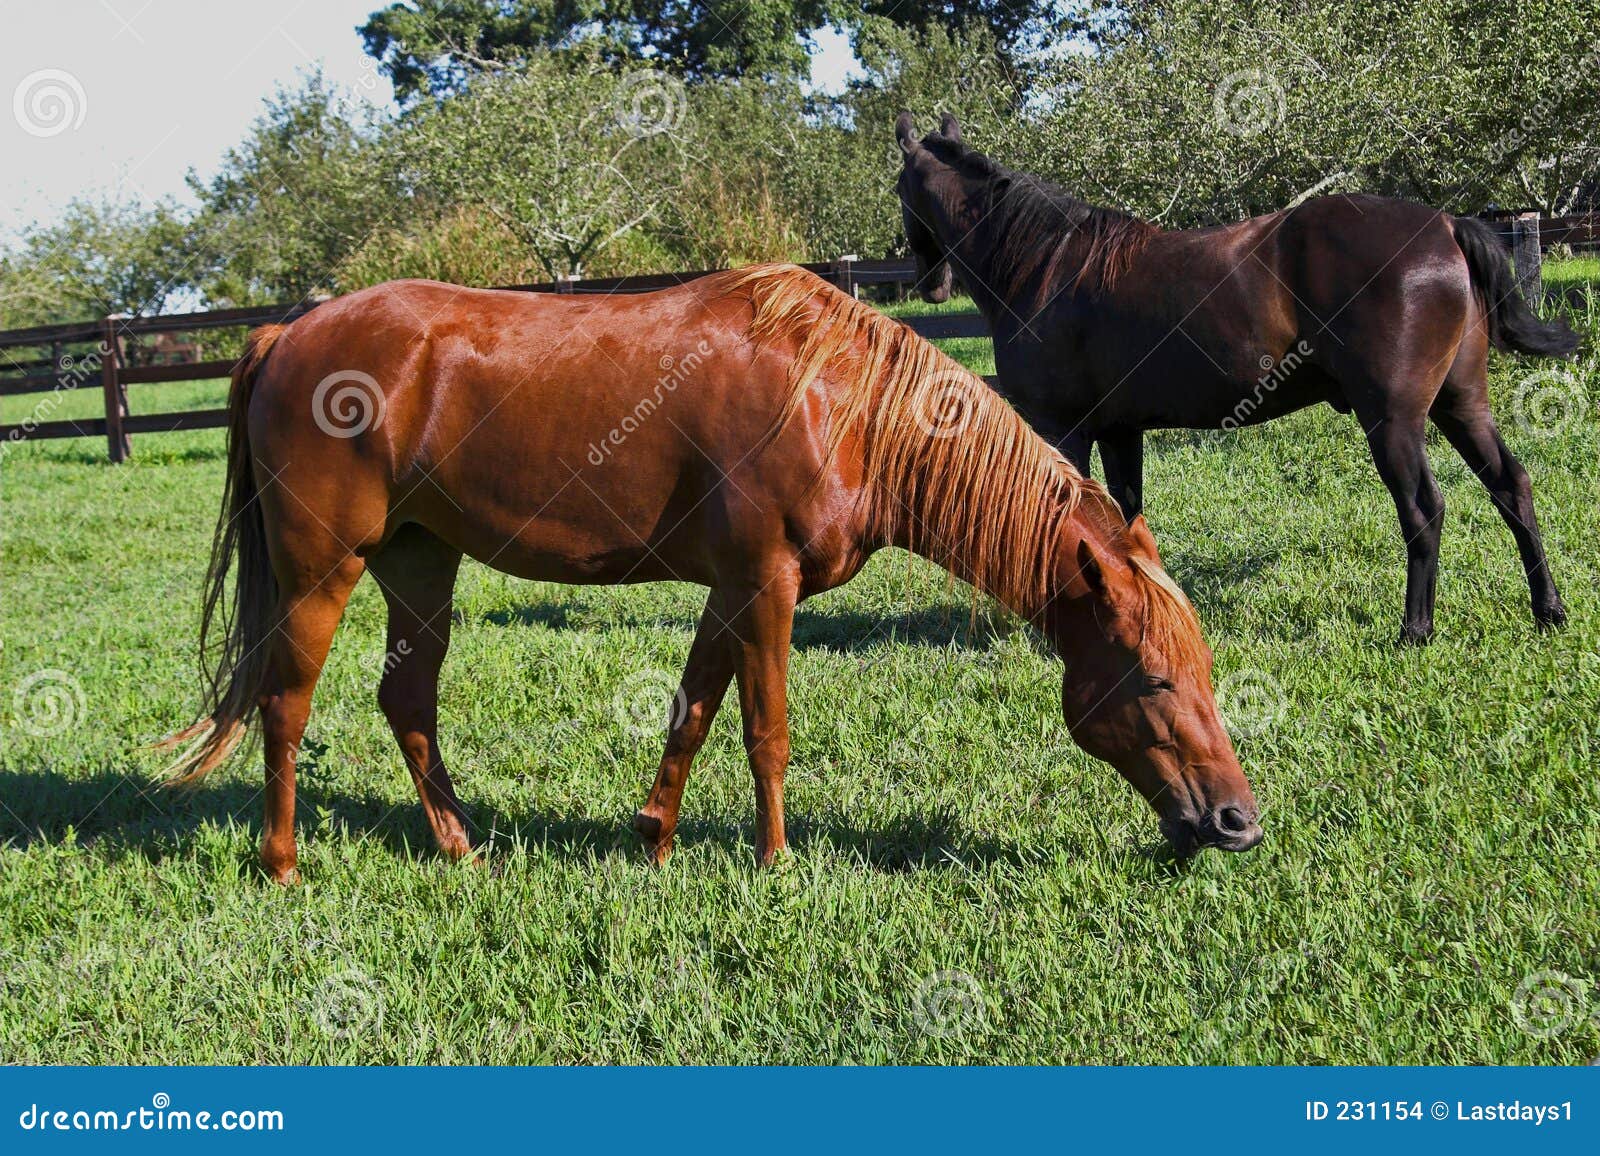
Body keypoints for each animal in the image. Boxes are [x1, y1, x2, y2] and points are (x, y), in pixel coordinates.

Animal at [157, 264, 1262, 883]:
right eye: (1154, 677)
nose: (1236, 821)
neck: (845, 404)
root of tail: (287, 333)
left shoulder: (732, 589)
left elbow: (692, 710)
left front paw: (653, 838)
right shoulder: (765, 585)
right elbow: (766, 730)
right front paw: (775, 862)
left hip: (421, 565)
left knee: (407, 700)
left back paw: (460, 847)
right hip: (322, 571)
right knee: (287, 704)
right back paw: (283, 866)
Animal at [895, 112, 1582, 644]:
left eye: (899, 188)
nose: (928, 284)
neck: (1043, 265)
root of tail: (1444, 226)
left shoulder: (1065, 429)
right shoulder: (1119, 431)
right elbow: (1122, 519)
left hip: (1394, 421)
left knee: (1423, 509)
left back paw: (1415, 630)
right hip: (1460, 406)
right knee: (1512, 487)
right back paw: (1548, 610)